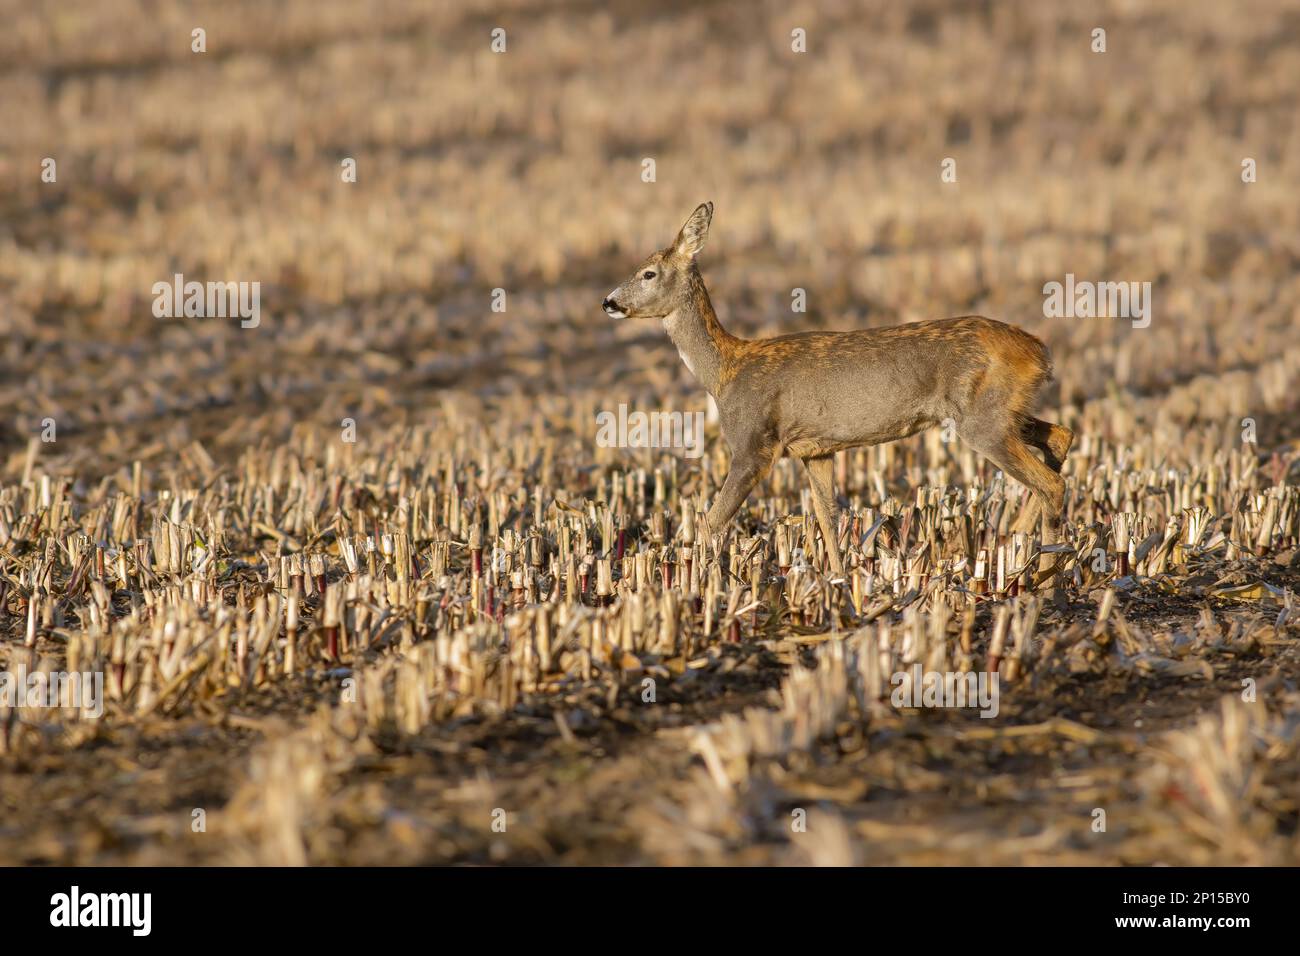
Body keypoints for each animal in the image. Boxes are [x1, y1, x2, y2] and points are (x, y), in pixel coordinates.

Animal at [601, 202, 1074, 578]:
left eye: (648, 273)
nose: (608, 302)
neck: (725, 370)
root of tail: (1040, 352)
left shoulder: (754, 444)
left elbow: (710, 522)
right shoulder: (816, 450)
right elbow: (827, 518)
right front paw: (839, 580)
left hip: (981, 418)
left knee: (1050, 482)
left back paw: (1041, 573)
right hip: (1002, 409)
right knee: (1061, 438)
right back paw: (1018, 546)